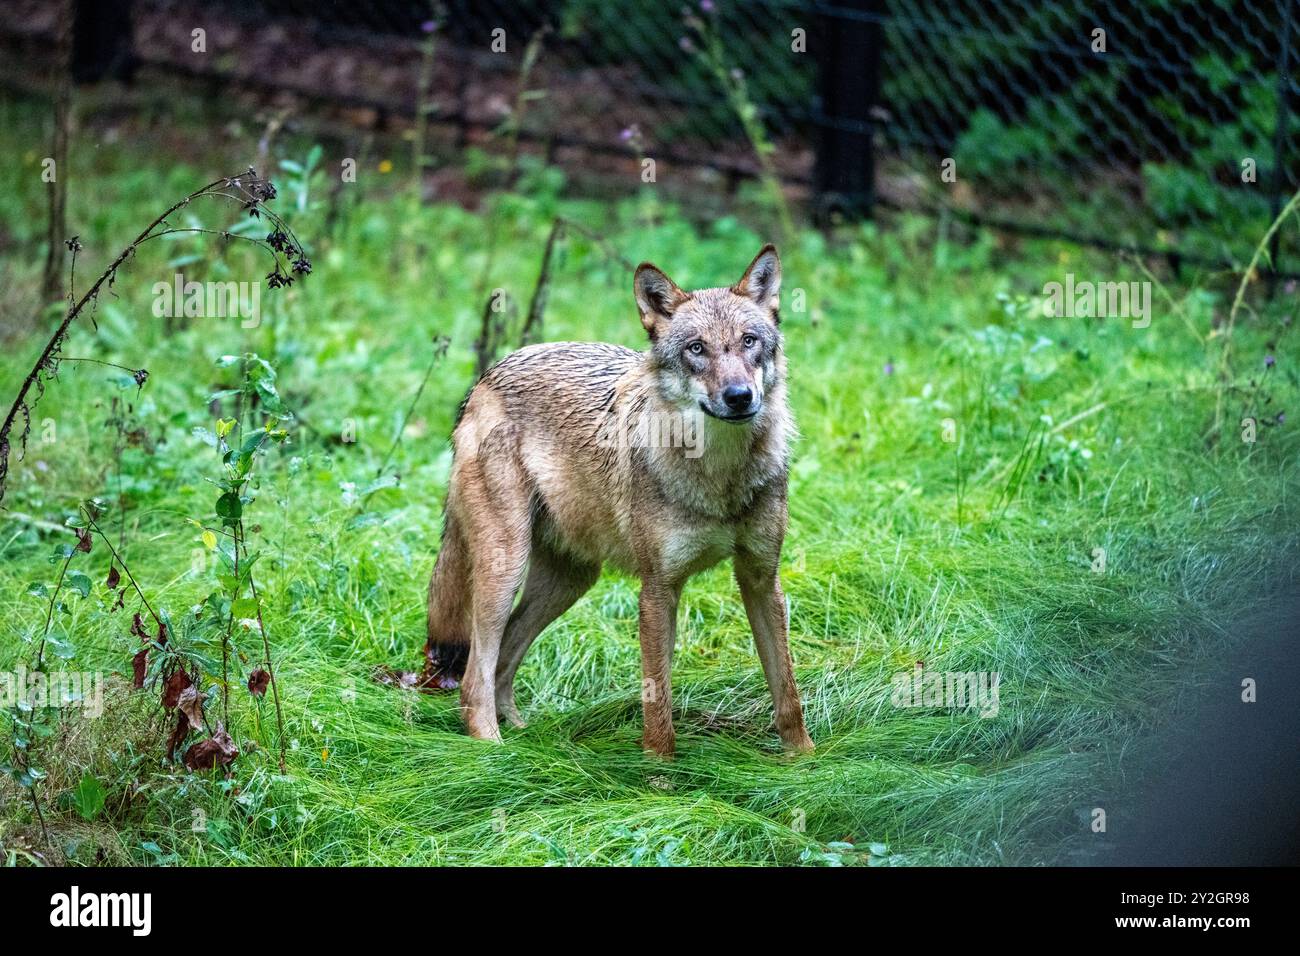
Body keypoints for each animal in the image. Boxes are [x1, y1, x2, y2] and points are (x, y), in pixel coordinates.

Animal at [421, 244, 813, 756]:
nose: (739, 396)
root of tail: (486, 377)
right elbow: (658, 702)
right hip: (505, 568)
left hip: (571, 580)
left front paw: (805, 760)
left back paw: (523, 737)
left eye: (749, 341)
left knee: (503, 657)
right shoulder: (659, 589)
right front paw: (660, 771)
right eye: (696, 349)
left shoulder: (762, 579)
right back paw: (492, 749)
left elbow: (787, 690)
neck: (720, 476)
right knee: (473, 676)